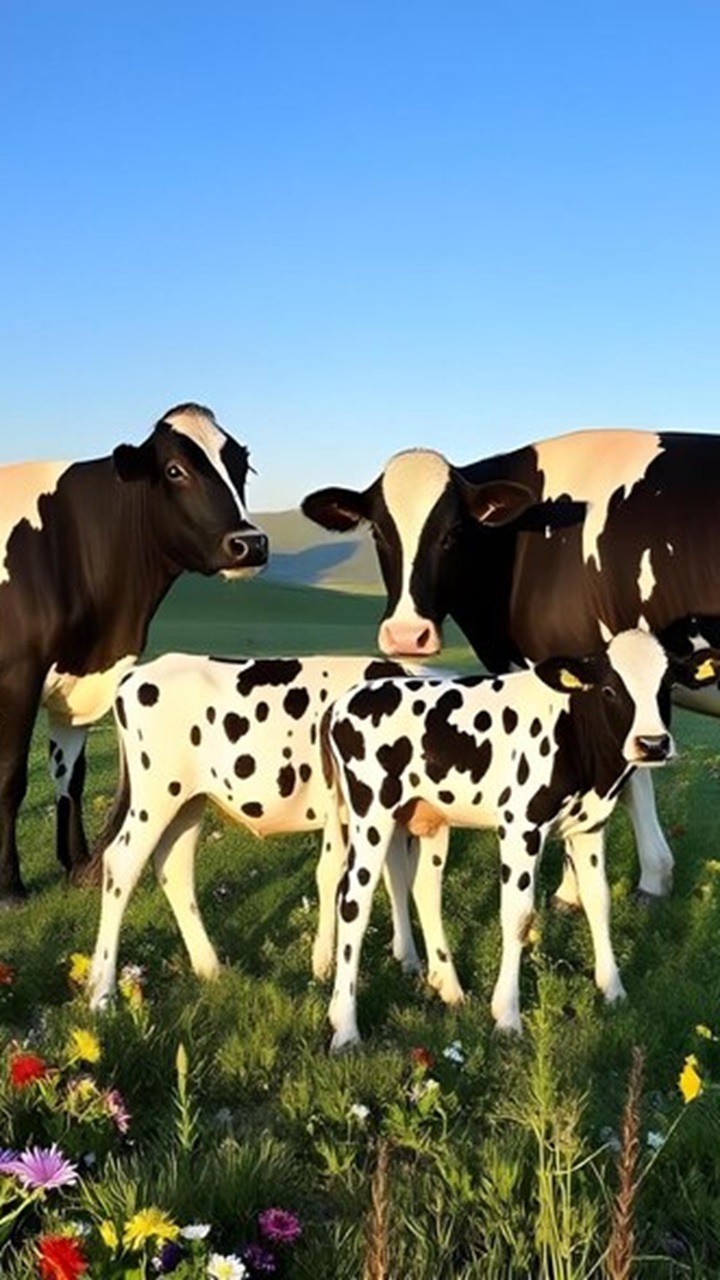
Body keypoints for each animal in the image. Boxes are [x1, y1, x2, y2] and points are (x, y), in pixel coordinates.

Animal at [0, 403, 268, 903]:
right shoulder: (18, 676)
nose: (251, 543)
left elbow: (71, 775)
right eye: (175, 470)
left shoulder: (83, 678)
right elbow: (11, 778)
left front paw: (77, 862)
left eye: (240, 466)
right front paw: (9, 886)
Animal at [87, 653, 448, 1010]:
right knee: (121, 863)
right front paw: (327, 963)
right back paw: (102, 992)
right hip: (156, 797)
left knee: (173, 866)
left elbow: (395, 878)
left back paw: (209, 968)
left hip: (188, 803)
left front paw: (407, 960)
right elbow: (348, 875)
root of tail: (139, 671)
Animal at [323, 630, 720, 1050]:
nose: (653, 744)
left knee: (423, 888)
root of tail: (346, 700)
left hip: (428, 818)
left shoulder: (589, 827)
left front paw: (613, 990)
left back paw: (450, 989)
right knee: (353, 902)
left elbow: (599, 901)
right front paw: (507, 1017)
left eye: (667, 686)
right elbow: (518, 915)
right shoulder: (520, 827)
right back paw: (345, 1028)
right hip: (371, 816)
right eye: (610, 688)